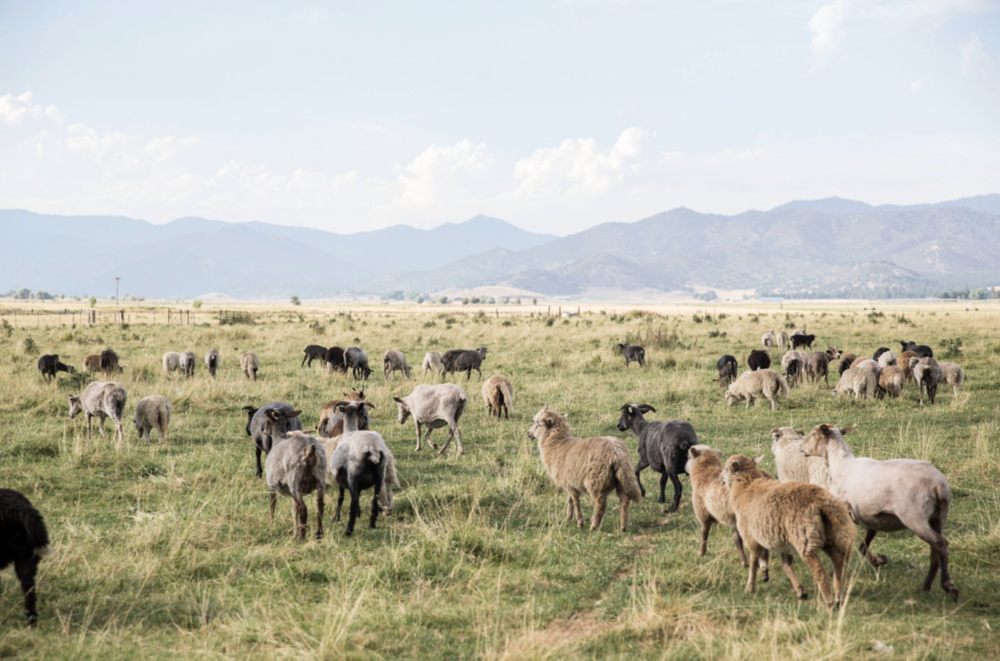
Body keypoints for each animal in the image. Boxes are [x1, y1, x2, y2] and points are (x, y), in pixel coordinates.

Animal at [326, 401, 395, 535]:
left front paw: (335, 518)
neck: (350, 431)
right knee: (374, 503)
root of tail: (372, 449)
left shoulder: (341, 478)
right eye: (363, 414)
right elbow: (357, 497)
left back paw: (348, 530)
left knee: (352, 505)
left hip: (353, 475)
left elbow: (340, 498)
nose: (367, 424)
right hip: (380, 477)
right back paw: (371, 525)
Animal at [685, 445, 767, 575]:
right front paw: (744, 561)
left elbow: (704, 534)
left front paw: (701, 553)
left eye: (688, 457)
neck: (705, 474)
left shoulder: (704, 515)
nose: (685, 470)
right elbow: (737, 540)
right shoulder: (733, 520)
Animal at [721, 454, 855, 607]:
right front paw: (800, 591)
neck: (746, 486)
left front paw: (750, 587)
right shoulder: (783, 542)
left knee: (819, 571)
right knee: (839, 561)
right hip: (833, 533)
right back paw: (838, 596)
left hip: (805, 539)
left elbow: (754, 561)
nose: (720, 479)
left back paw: (829, 602)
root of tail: (820, 504)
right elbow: (787, 566)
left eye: (726, 468)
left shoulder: (751, 537)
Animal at [801, 424, 958, 601]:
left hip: (914, 517)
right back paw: (925, 587)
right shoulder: (872, 517)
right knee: (934, 551)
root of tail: (939, 485)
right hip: (939, 517)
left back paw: (948, 586)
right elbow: (863, 546)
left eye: (813, 434)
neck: (840, 464)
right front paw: (878, 561)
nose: (802, 448)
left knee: (940, 543)